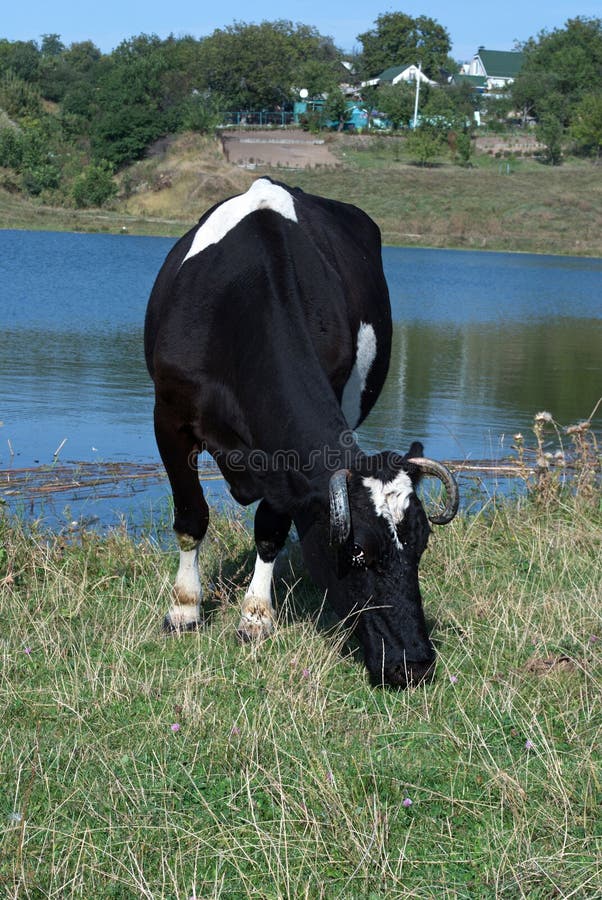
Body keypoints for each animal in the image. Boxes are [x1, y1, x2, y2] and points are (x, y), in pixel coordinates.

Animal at [144, 177, 458, 688]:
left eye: (421, 544)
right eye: (356, 552)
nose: (414, 663)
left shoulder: (285, 463)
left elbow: (270, 530)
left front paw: (255, 617)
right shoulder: (168, 418)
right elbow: (191, 517)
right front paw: (184, 610)